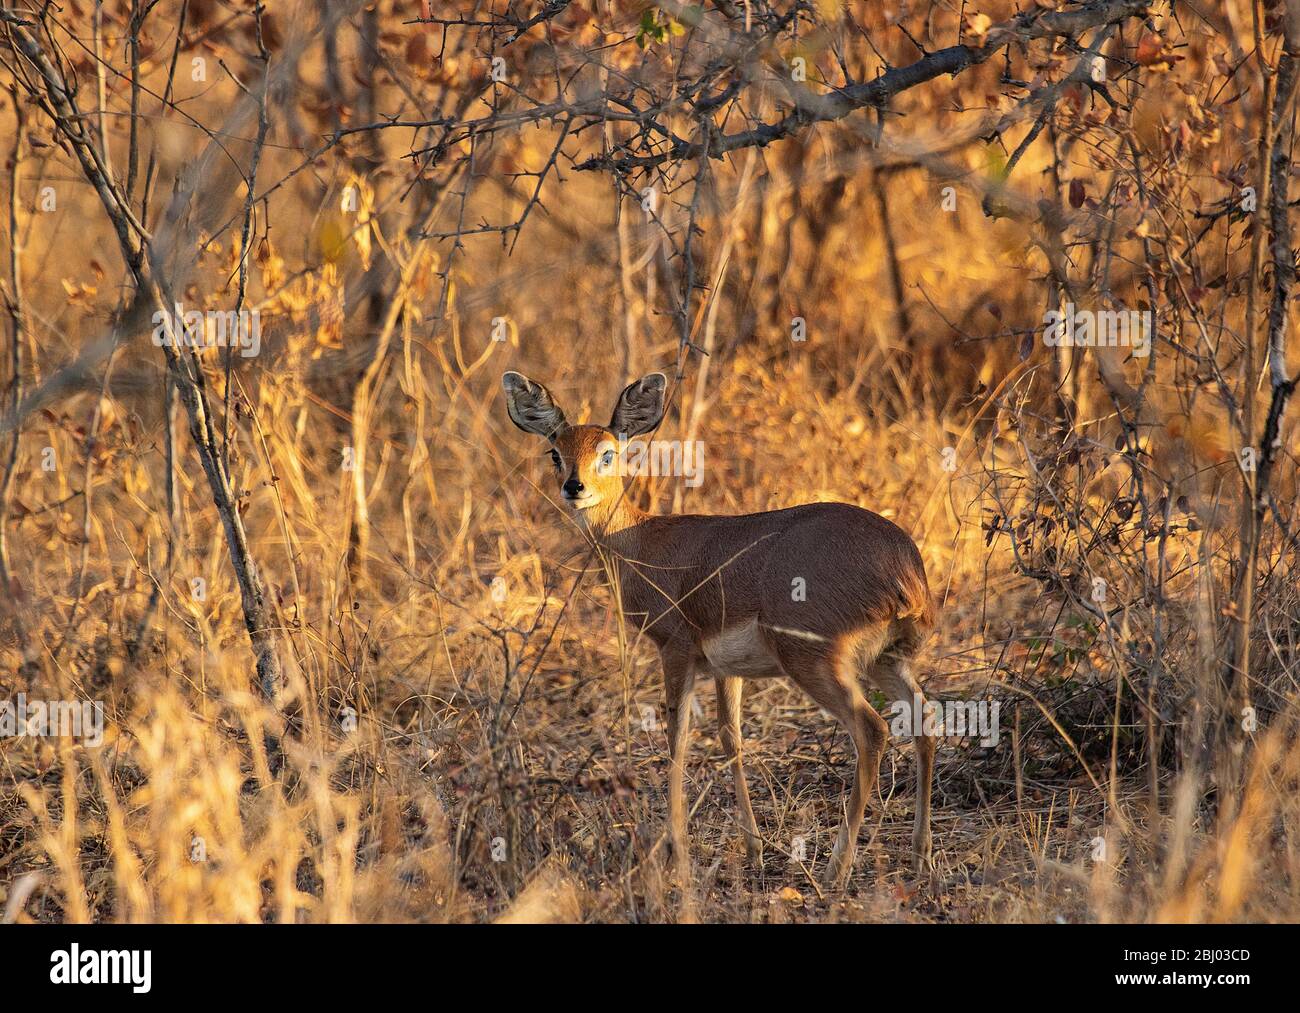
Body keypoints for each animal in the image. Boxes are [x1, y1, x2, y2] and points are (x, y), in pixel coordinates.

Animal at [501, 370, 937, 886]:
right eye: (555, 451)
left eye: (608, 452)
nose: (574, 486)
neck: (638, 541)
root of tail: (904, 568)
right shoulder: (727, 668)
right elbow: (732, 740)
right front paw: (752, 849)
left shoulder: (675, 648)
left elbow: (677, 739)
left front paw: (677, 852)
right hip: (886, 660)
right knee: (926, 719)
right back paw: (920, 856)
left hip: (815, 660)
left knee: (872, 730)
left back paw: (836, 869)